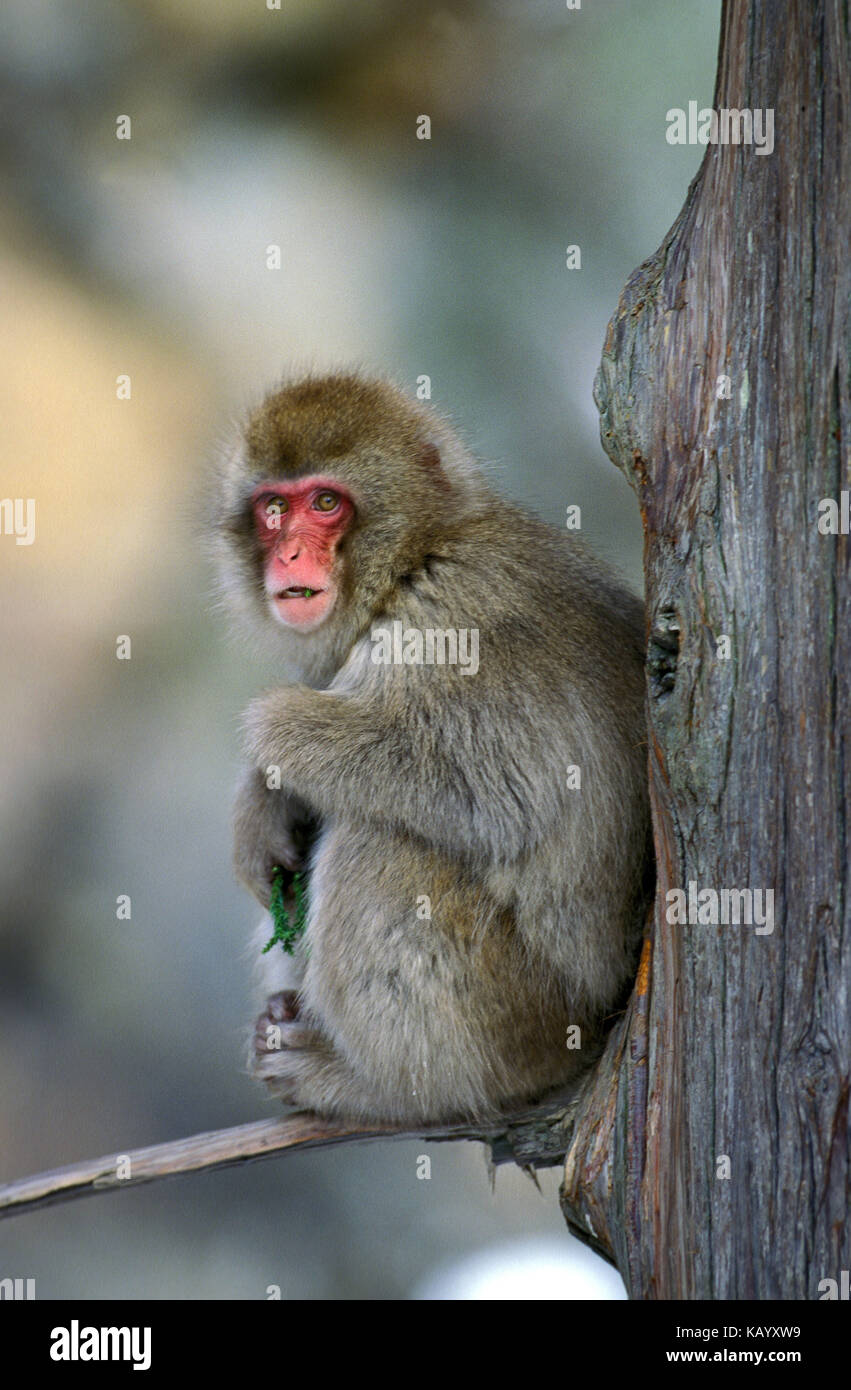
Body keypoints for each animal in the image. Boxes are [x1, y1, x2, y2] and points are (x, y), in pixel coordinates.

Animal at [215, 371, 651, 1125]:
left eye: (325, 503)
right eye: (273, 508)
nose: (289, 554)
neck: (409, 562)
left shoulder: (452, 621)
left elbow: (498, 798)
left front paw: (273, 740)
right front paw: (260, 807)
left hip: (521, 1019)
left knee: (381, 843)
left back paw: (380, 1087)